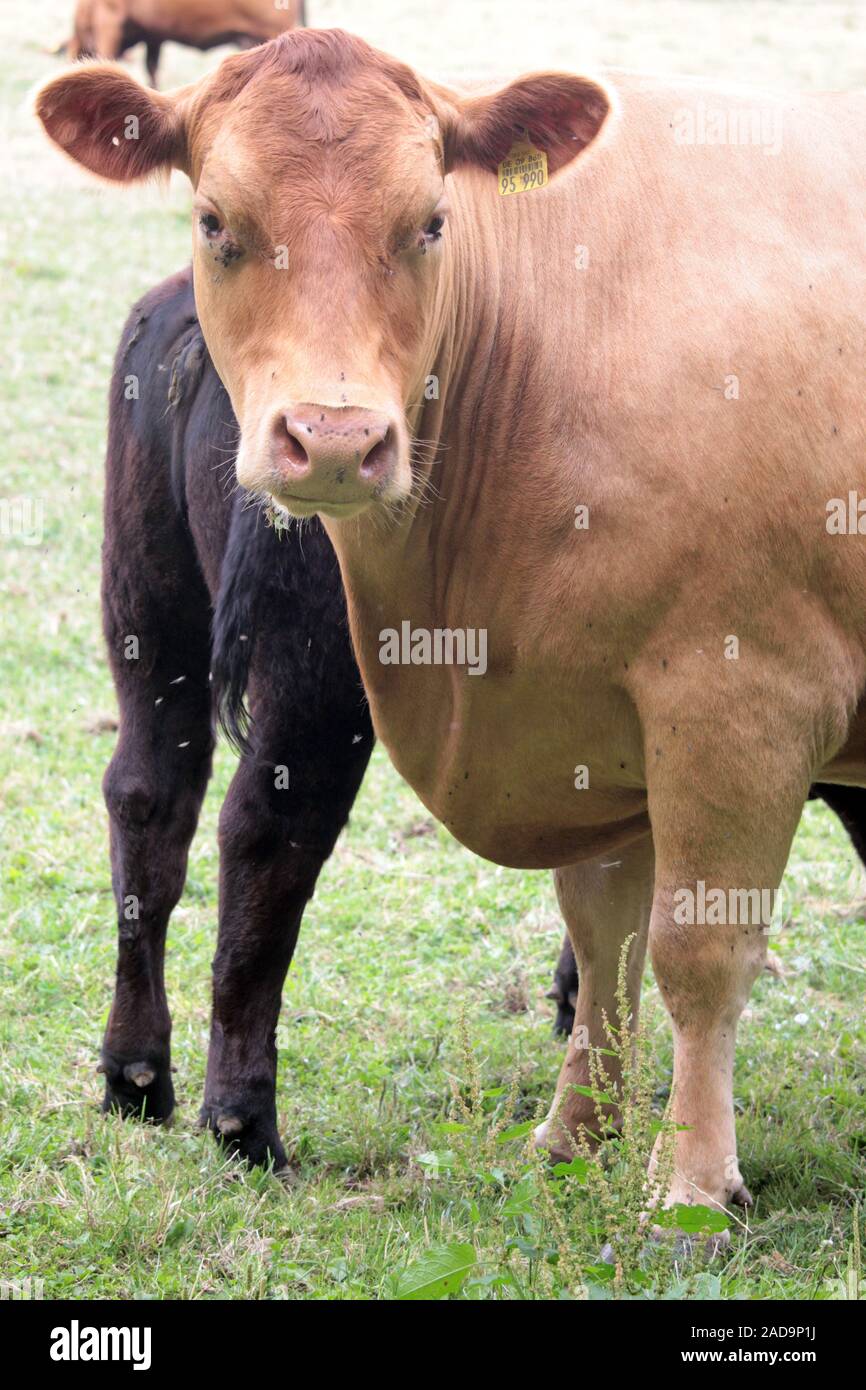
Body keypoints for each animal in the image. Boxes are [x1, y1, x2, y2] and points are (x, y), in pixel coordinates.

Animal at [37, 29, 866, 1220]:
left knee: (152, 794)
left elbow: (621, 926)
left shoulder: (637, 710)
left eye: (432, 220)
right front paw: (685, 1183)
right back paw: (243, 1119)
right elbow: (676, 939)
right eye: (214, 218)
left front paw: (593, 1130)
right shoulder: (725, 690)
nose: (334, 437)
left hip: (148, 610)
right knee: (261, 828)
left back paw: (138, 1075)